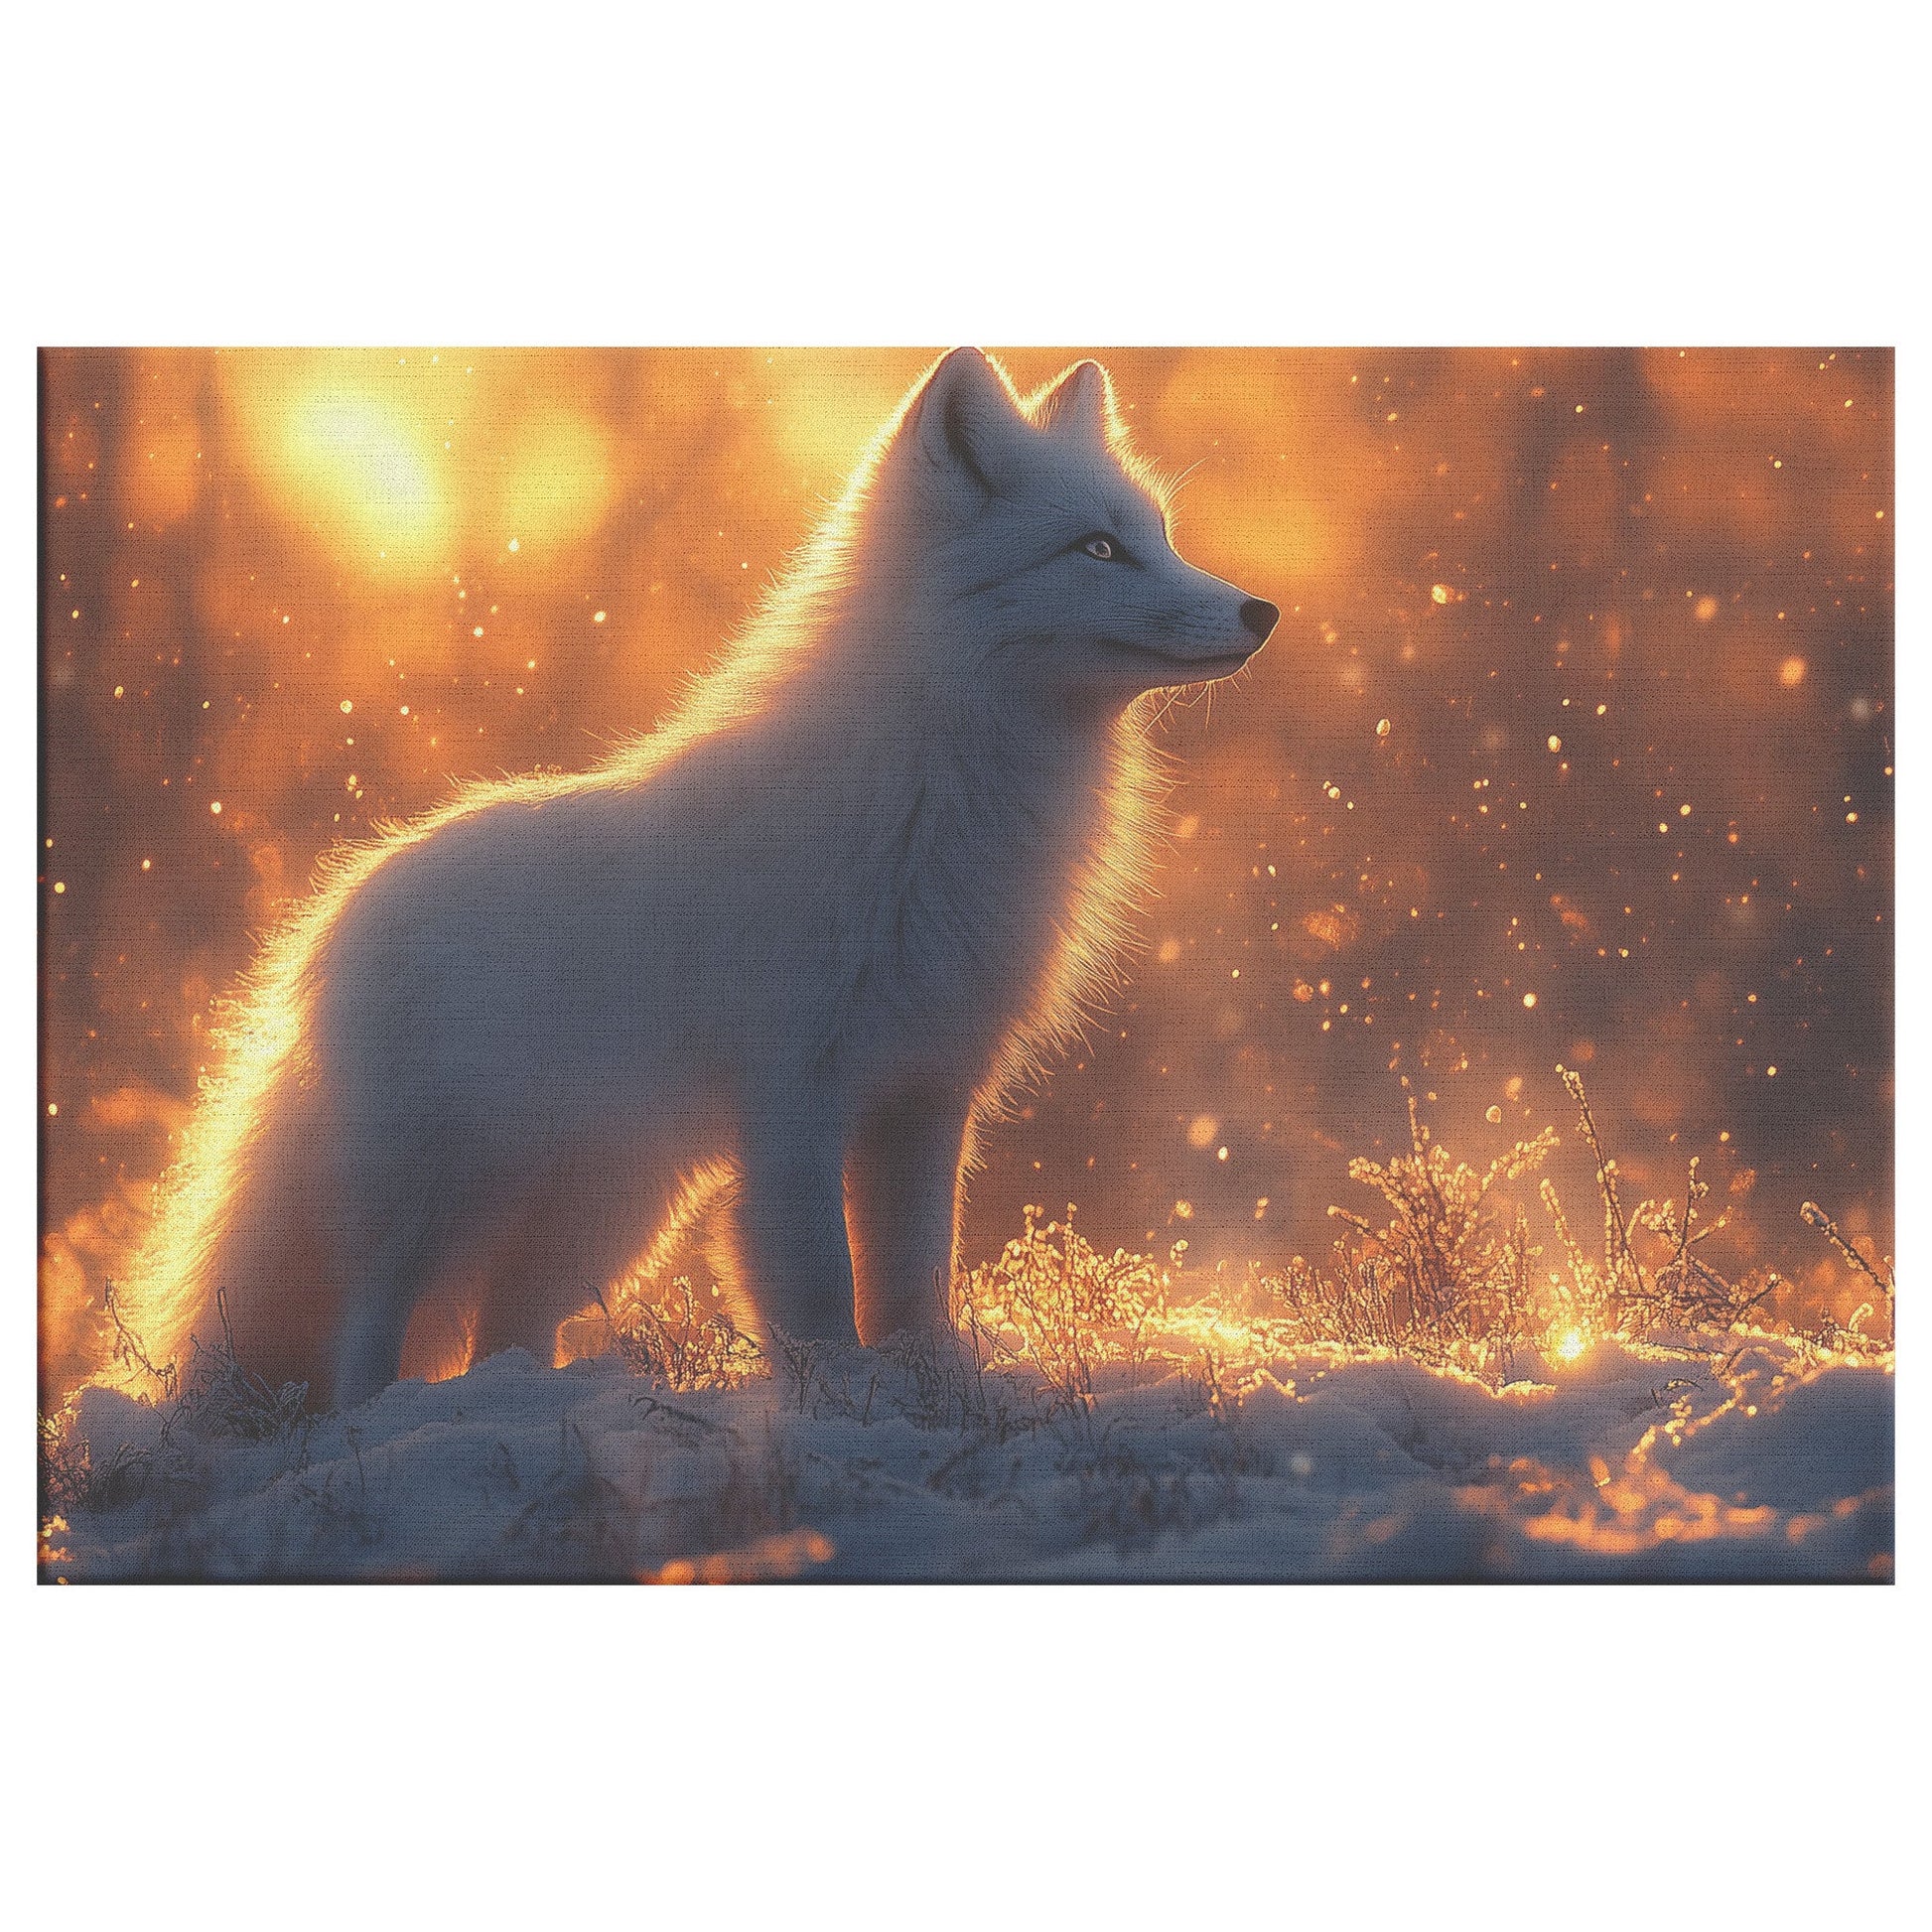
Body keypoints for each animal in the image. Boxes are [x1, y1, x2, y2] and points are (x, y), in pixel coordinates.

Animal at [118, 347, 1277, 1411]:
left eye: (1158, 537)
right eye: (1097, 547)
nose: (1261, 611)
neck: (933, 804)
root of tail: (328, 915)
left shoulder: (924, 1095)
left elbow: (913, 1283)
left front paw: (934, 1392)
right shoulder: (792, 1102)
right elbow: (817, 1286)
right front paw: (841, 1402)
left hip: (602, 1215)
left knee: (501, 1331)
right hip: (428, 1199)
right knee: (365, 1332)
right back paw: (375, 1427)